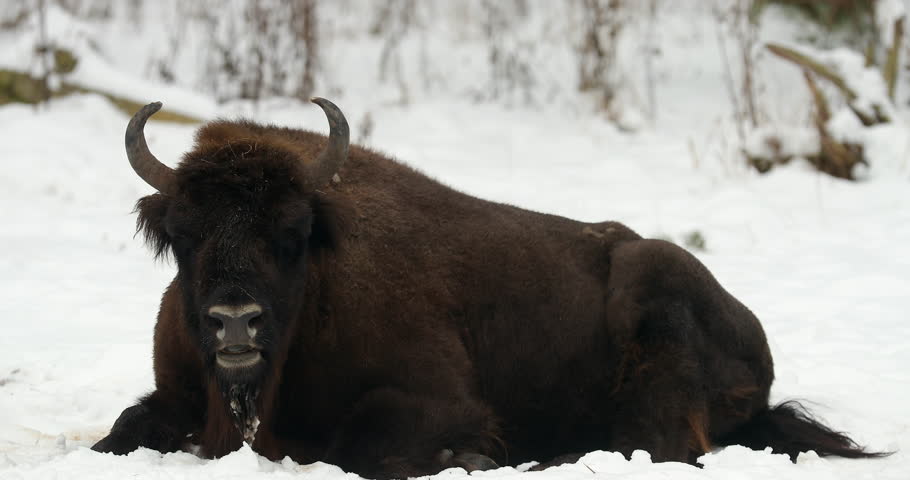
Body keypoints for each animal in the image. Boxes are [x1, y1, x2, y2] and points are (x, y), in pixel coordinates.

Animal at [92, 98, 881, 478]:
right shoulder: (173, 394)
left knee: (655, 444)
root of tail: (754, 338)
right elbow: (123, 430)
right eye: (185, 234)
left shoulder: (439, 401)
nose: (235, 322)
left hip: (653, 304)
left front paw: (468, 459)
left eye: (292, 233)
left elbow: (365, 446)